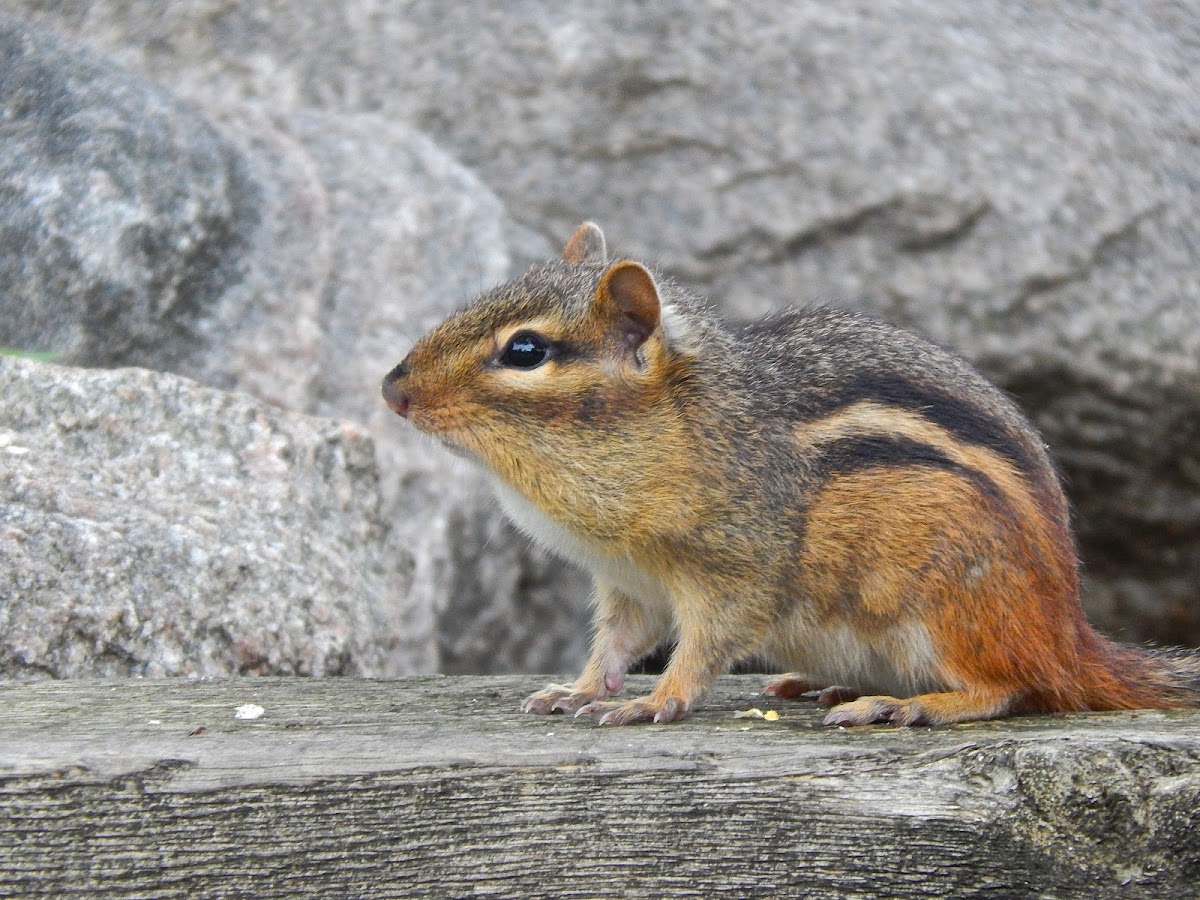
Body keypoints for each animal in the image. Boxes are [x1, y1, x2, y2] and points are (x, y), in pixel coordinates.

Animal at [382, 222, 1200, 726]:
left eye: (524, 351)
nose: (392, 389)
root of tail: (1069, 630)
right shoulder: (627, 582)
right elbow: (615, 643)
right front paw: (577, 688)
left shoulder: (737, 568)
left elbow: (704, 644)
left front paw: (654, 700)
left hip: (953, 604)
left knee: (1014, 687)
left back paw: (910, 704)